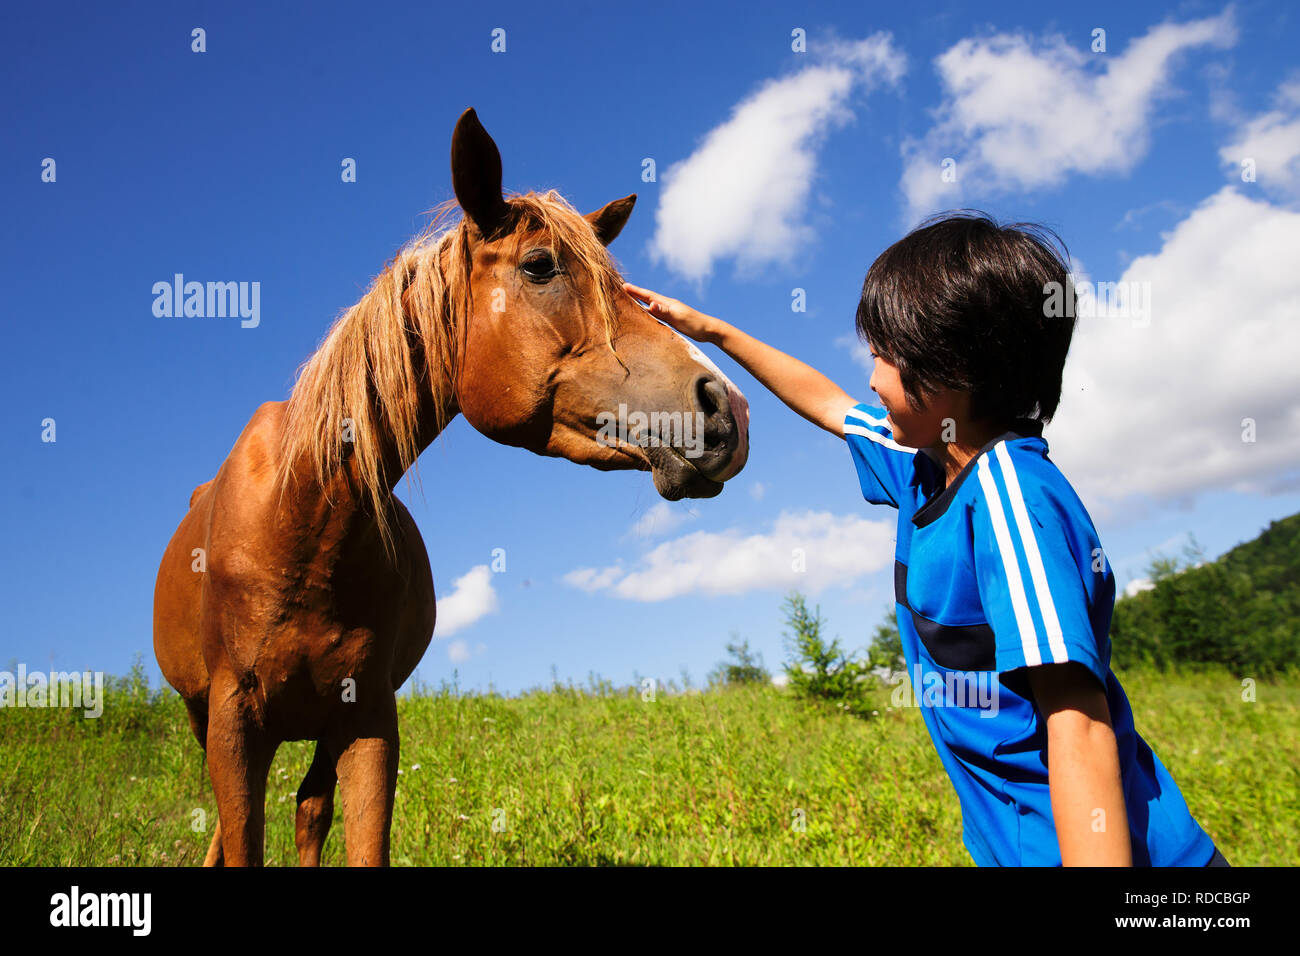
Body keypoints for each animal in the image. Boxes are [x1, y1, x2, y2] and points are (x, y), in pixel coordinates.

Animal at [152, 108, 750, 866]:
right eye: (540, 266)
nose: (726, 407)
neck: (302, 519)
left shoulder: (370, 719)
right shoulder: (234, 720)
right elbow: (239, 837)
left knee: (310, 810)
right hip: (211, 717)